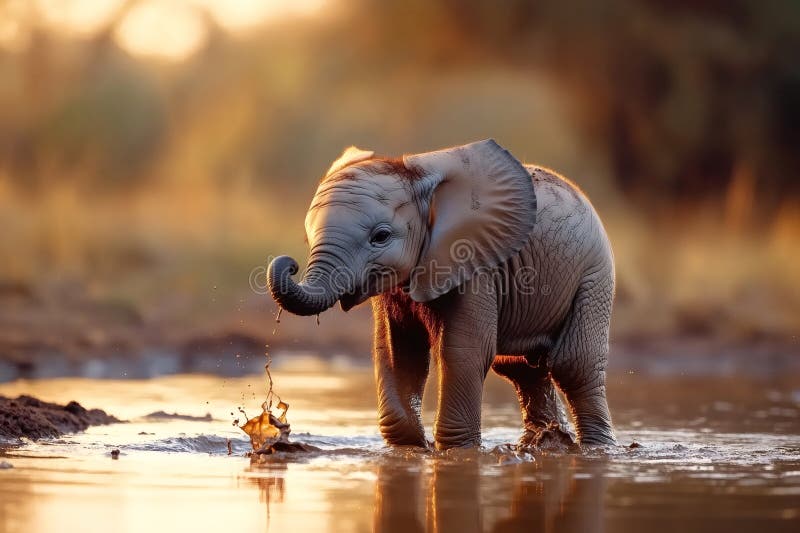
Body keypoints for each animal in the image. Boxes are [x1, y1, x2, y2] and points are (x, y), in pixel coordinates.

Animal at [267, 139, 616, 449]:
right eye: (308, 237)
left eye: (380, 236)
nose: (290, 264)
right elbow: (396, 352)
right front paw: (414, 447)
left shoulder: (476, 264)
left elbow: (463, 352)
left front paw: (454, 451)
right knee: (521, 369)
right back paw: (546, 443)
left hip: (594, 276)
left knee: (574, 364)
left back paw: (595, 449)